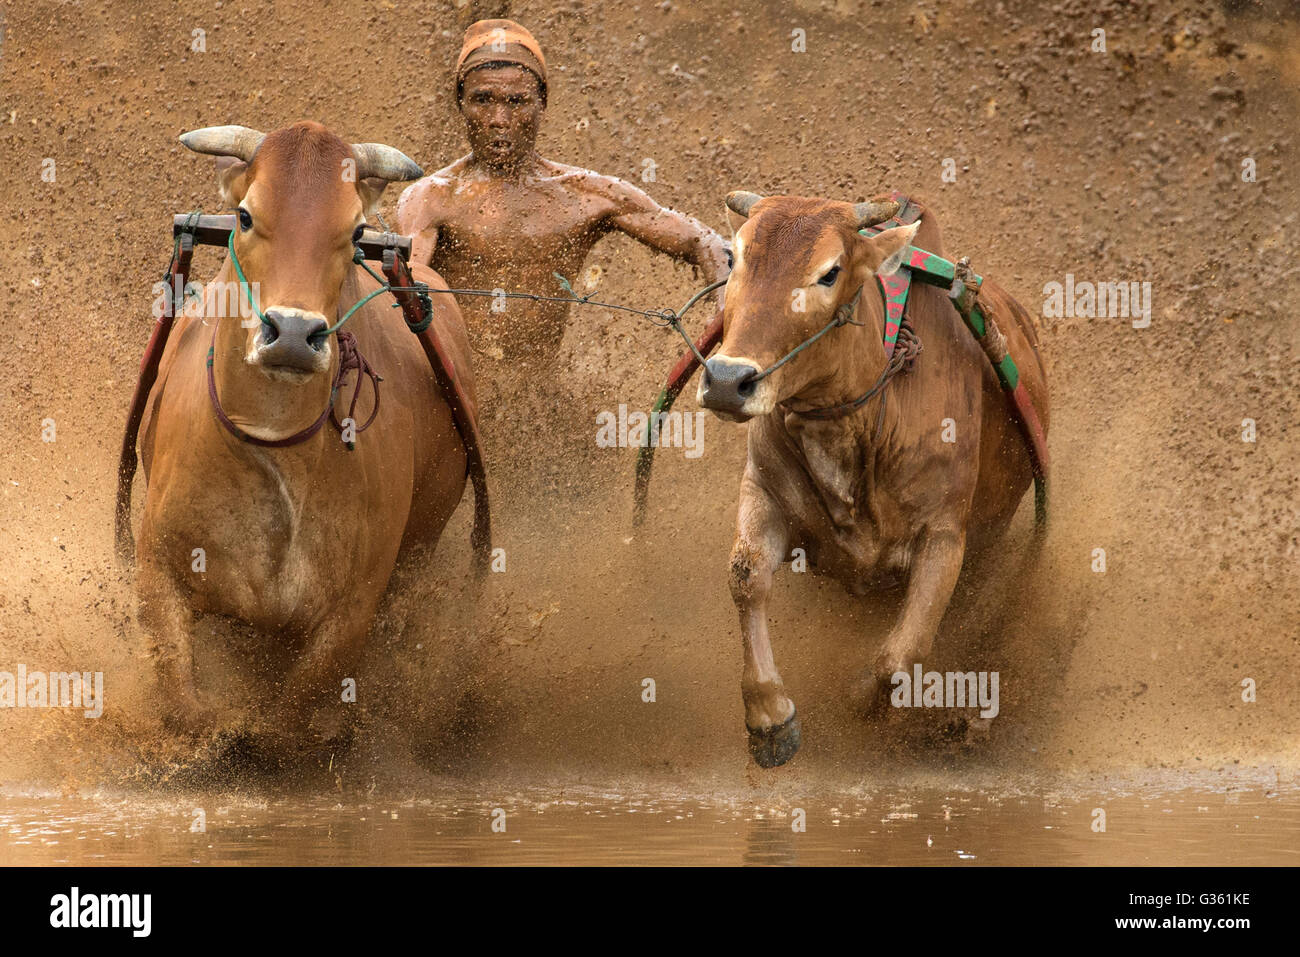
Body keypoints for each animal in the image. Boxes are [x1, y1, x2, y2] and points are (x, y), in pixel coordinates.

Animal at [132, 121, 479, 744]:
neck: (274, 447)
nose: (293, 333)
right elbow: (186, 708)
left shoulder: (354, 612)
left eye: (356, 230)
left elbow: (290, 716)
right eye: (245, 215)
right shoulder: (158, 574)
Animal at [698, 191, 1049, 768]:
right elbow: (746, 577)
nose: (728, 380)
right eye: (735, 258)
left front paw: (862, 702)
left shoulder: (945, 536)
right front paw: (770, 717)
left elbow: (903, 653)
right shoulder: (763, 490)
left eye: (830, 272)